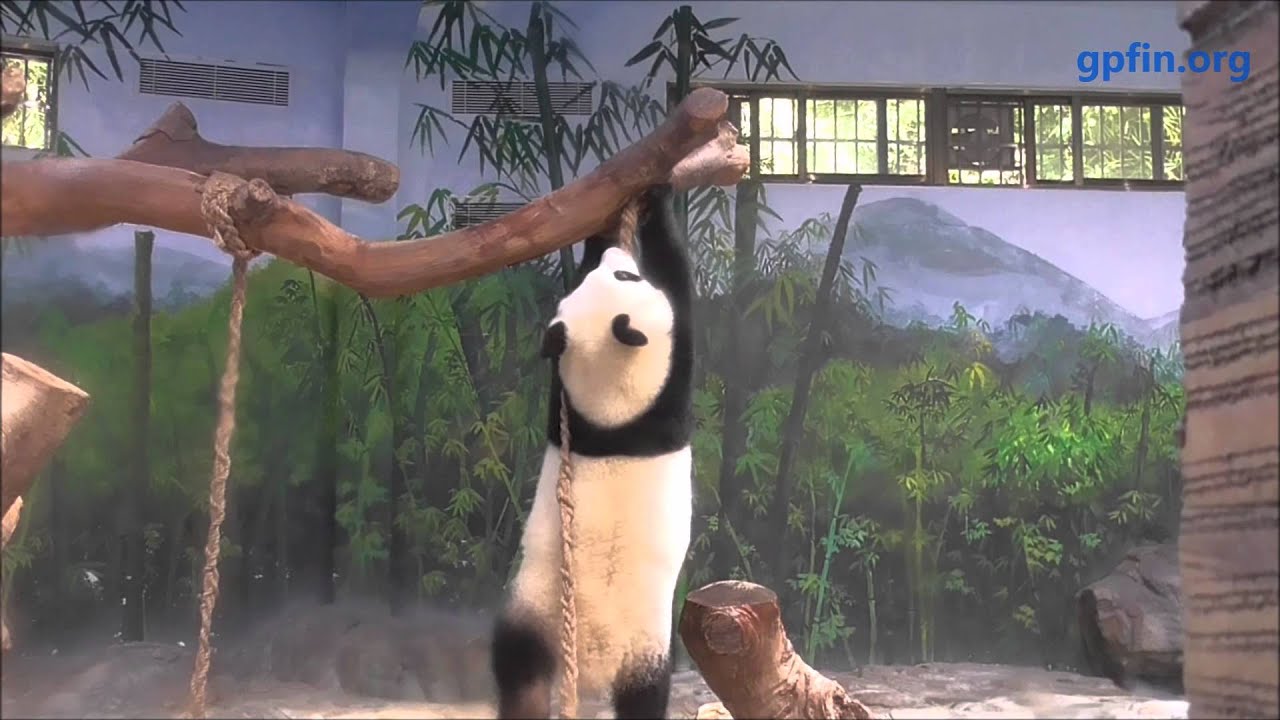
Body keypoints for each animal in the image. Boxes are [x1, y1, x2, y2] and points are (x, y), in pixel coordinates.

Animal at [491, 183, 694, 719]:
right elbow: (679, 290)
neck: (614, 415)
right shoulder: (670, 390)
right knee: (646, 696)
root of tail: (590, 655)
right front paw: (655, 196)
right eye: (627, 276)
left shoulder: (569, 413)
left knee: (516, 667)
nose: (615, 256)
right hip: (622, 632)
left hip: (537, 606)